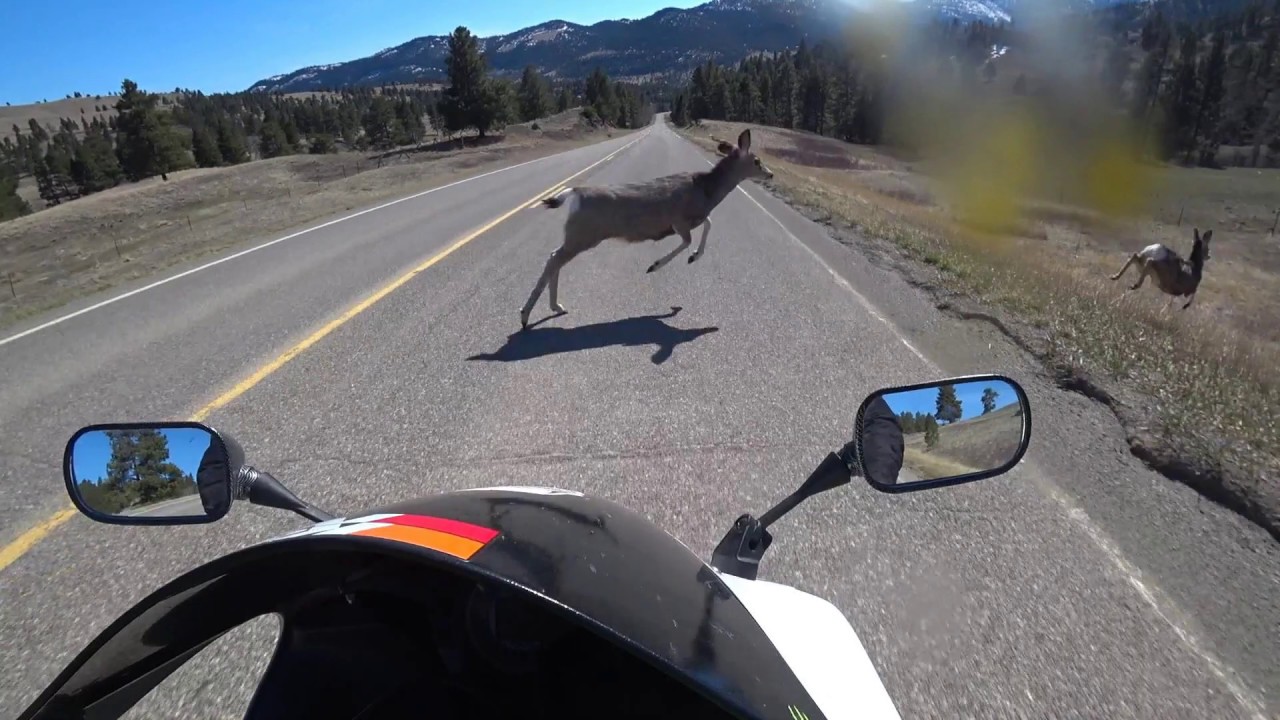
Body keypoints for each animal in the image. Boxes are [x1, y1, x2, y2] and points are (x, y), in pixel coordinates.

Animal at [517, 129, 774, 330]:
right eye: (757, 161)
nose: (770, 174)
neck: (706, 191)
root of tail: (576, 192)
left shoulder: (694, 218)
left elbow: (709, 224)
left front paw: (693, 258)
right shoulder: (678, 219)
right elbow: (688, 240)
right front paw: (655, 265)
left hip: (578, 236)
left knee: (555, 258)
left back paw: (555, 306)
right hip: (583, 234)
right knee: (554, 259)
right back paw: (525, 315)